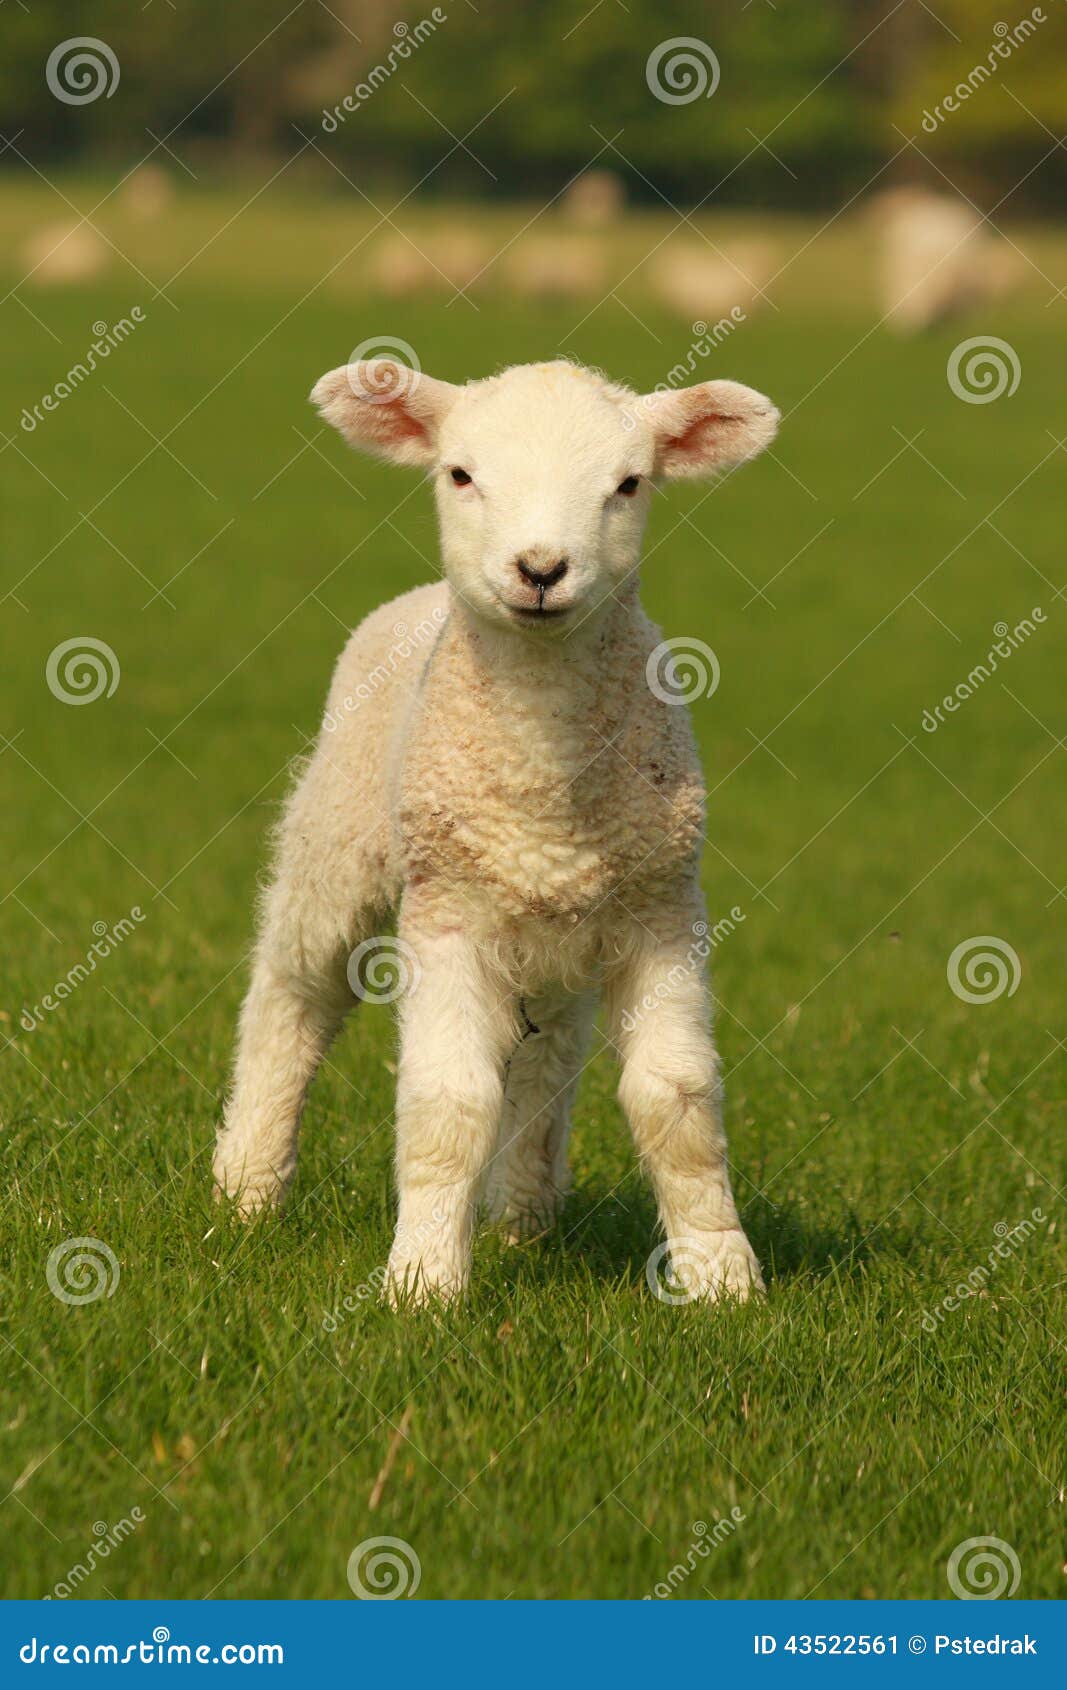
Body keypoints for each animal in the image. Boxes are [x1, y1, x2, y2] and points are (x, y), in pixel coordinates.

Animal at [213, 357, 779, 1306]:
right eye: (460, 475)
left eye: (629, 484)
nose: (541, 568)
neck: (542, 787)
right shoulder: (450, 914)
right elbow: (449, 1102)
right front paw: (422, 1283)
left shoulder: (660, 908)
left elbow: (676, 1098)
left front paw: (719, 1276)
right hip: (339, 838)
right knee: (292, 996)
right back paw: (246, 1188)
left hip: (554, 936)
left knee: (547, 1061)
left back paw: (523, 1215)